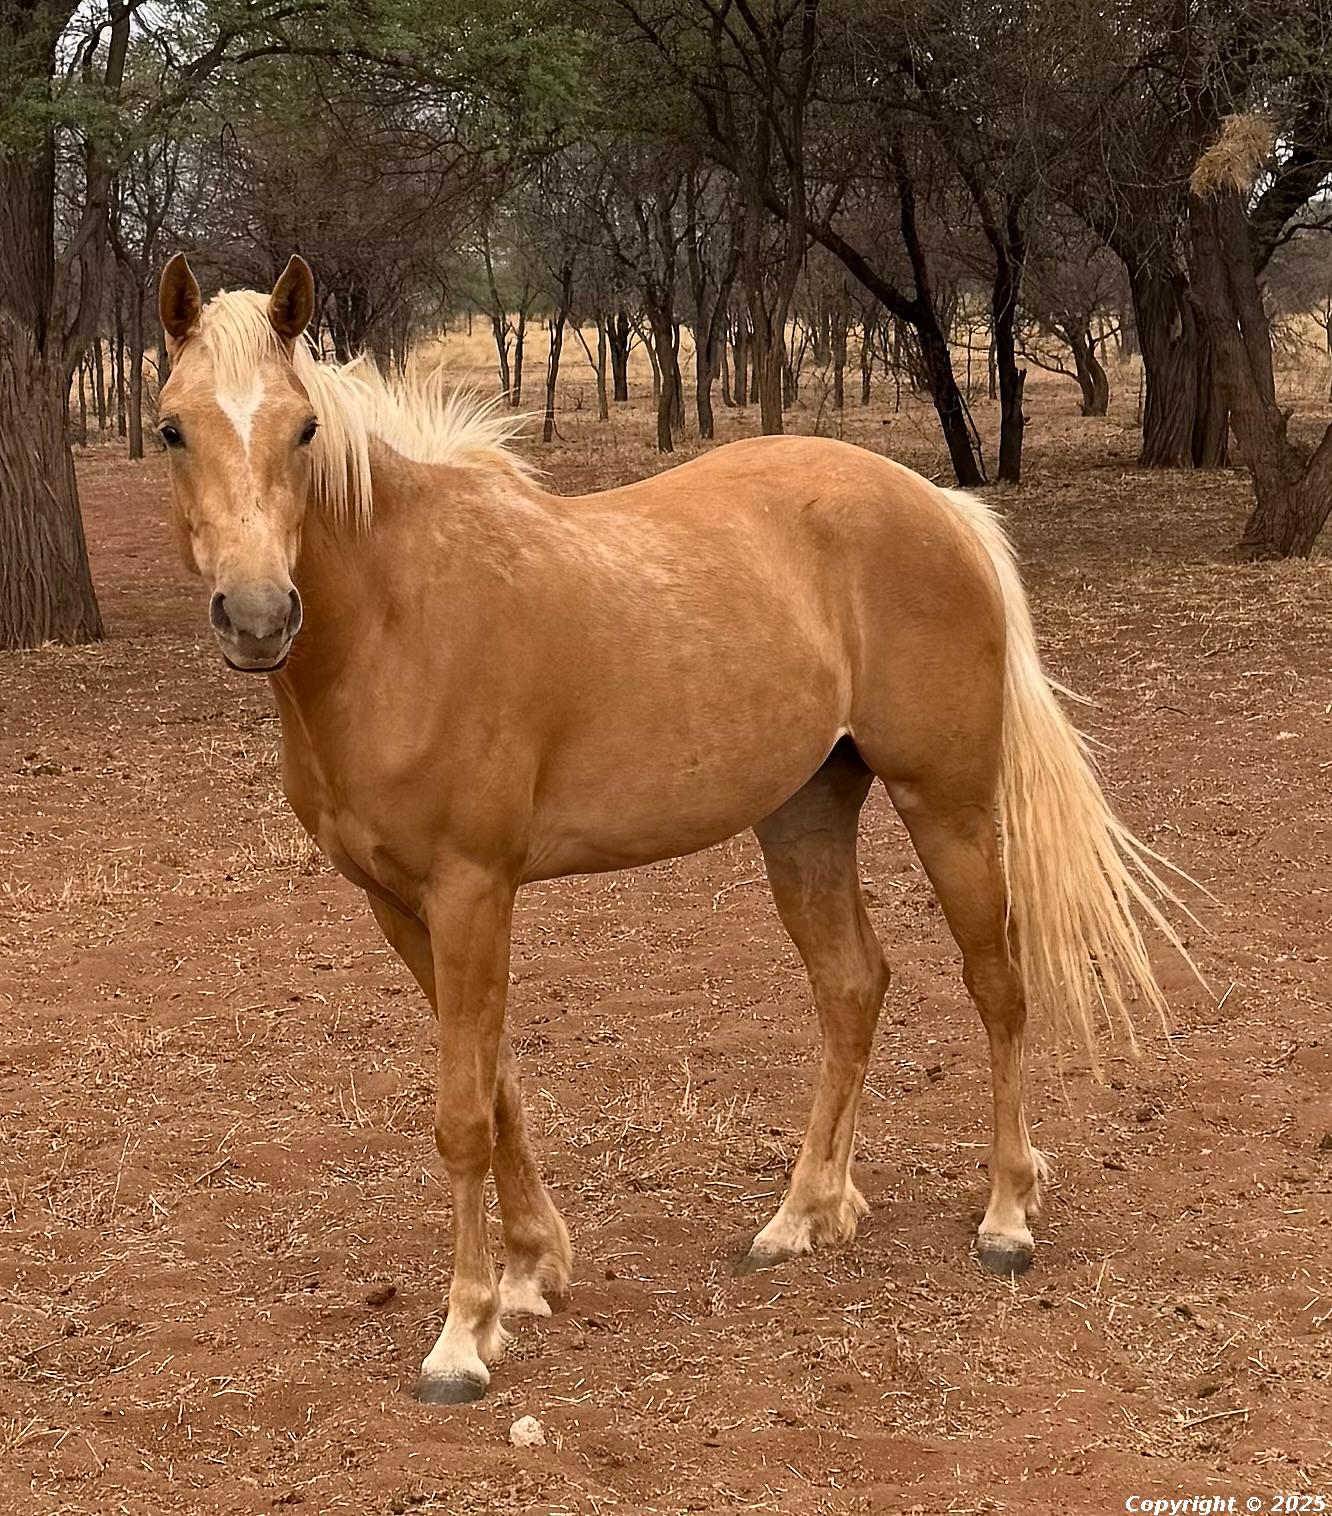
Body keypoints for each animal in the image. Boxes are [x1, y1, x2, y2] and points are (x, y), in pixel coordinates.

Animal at [154, 252, 1193, 1404]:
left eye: (302, 428)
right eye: (171, 429)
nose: (257, 616)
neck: (397, 617)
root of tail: (938, 503)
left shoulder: (472, 889)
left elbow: (462, 1112)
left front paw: (463, 1335)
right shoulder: (399, 904)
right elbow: (497, 1082)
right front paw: (533, 1270)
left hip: (948, 802)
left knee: (997, 985)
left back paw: (1006, 1215)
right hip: (805, 813)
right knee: (853, 986)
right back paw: (803, 1214)